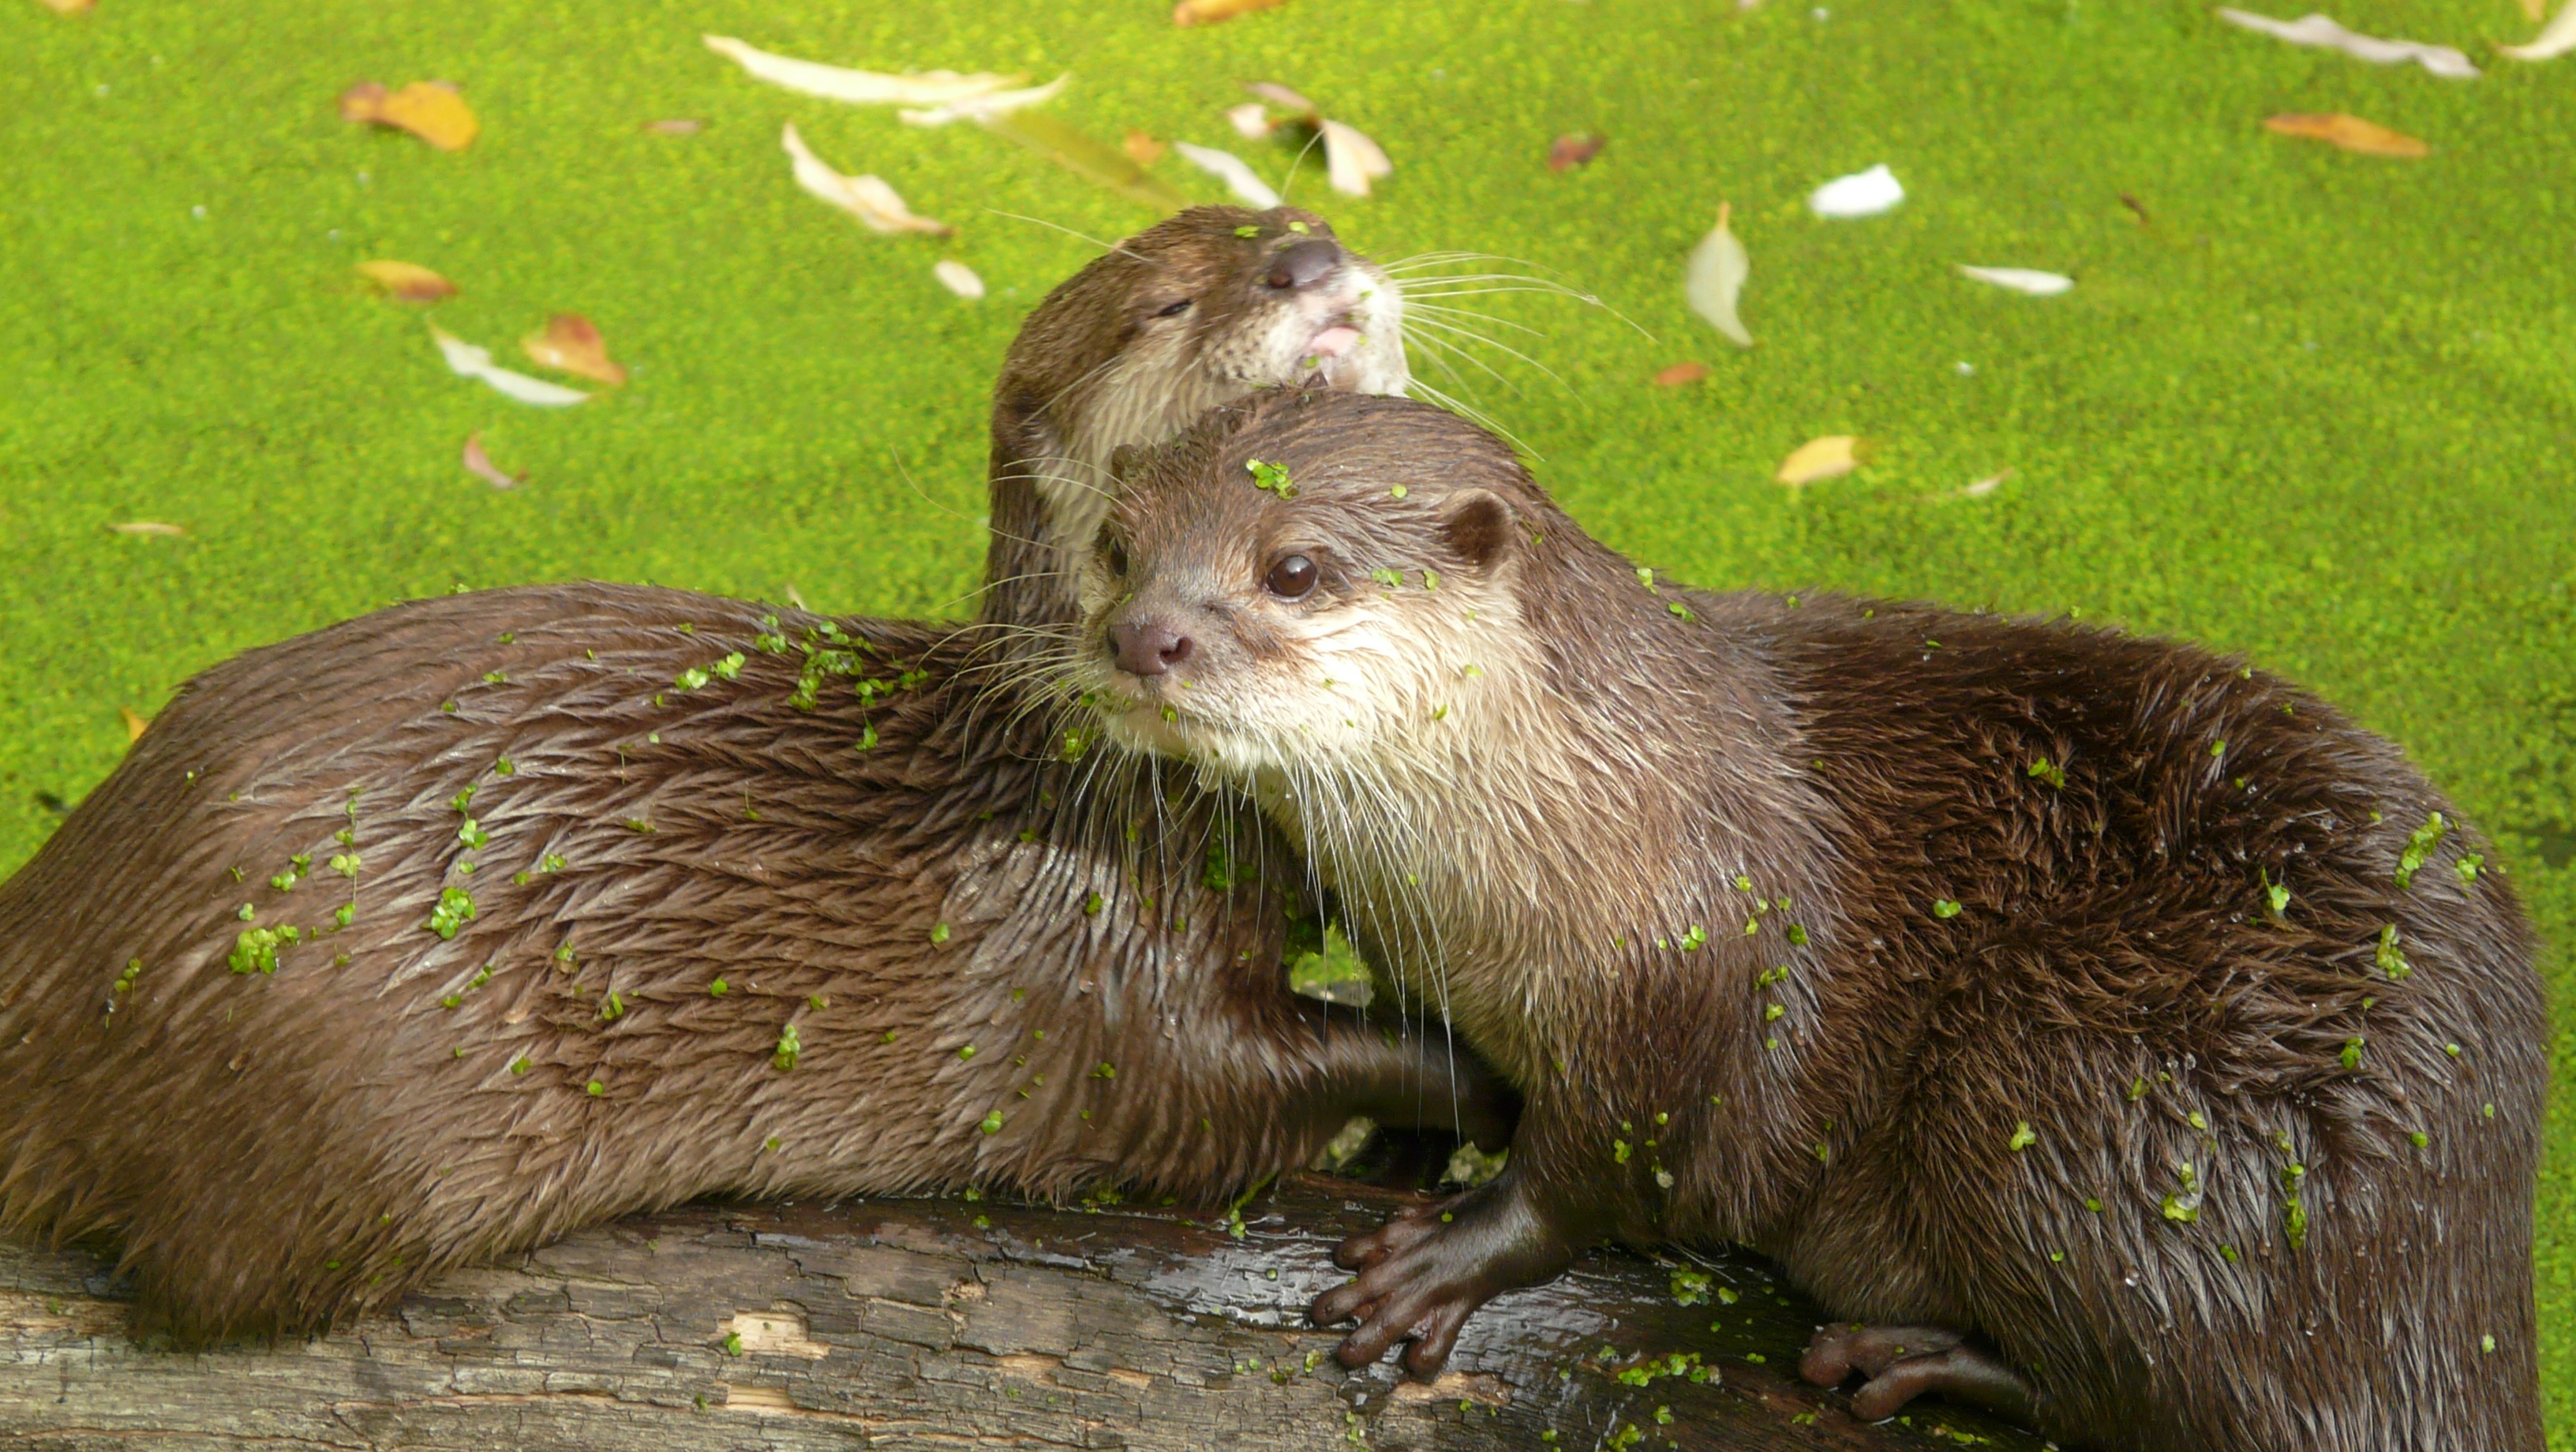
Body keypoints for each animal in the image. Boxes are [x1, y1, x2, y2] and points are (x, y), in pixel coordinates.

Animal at [0, 207, 1510, 1344]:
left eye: (1291, 210)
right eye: (1170, 305)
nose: (1308, 259)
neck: (1118, 778)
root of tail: (58, 930)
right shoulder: (1104, 971)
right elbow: (1232, 1094)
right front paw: (1478, 1093)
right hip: (339, 1109)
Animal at [1067, 390, 2546, 1451]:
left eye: (1293, 567)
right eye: (1117, 546)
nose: (1143, 637)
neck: (1587, 803)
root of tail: (2457, 1280)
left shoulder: (1684, 970)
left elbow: (1606, 1165)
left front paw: (1447, 1257)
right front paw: (1391, 1148)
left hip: (2090, 1090)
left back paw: (1911, 1358)